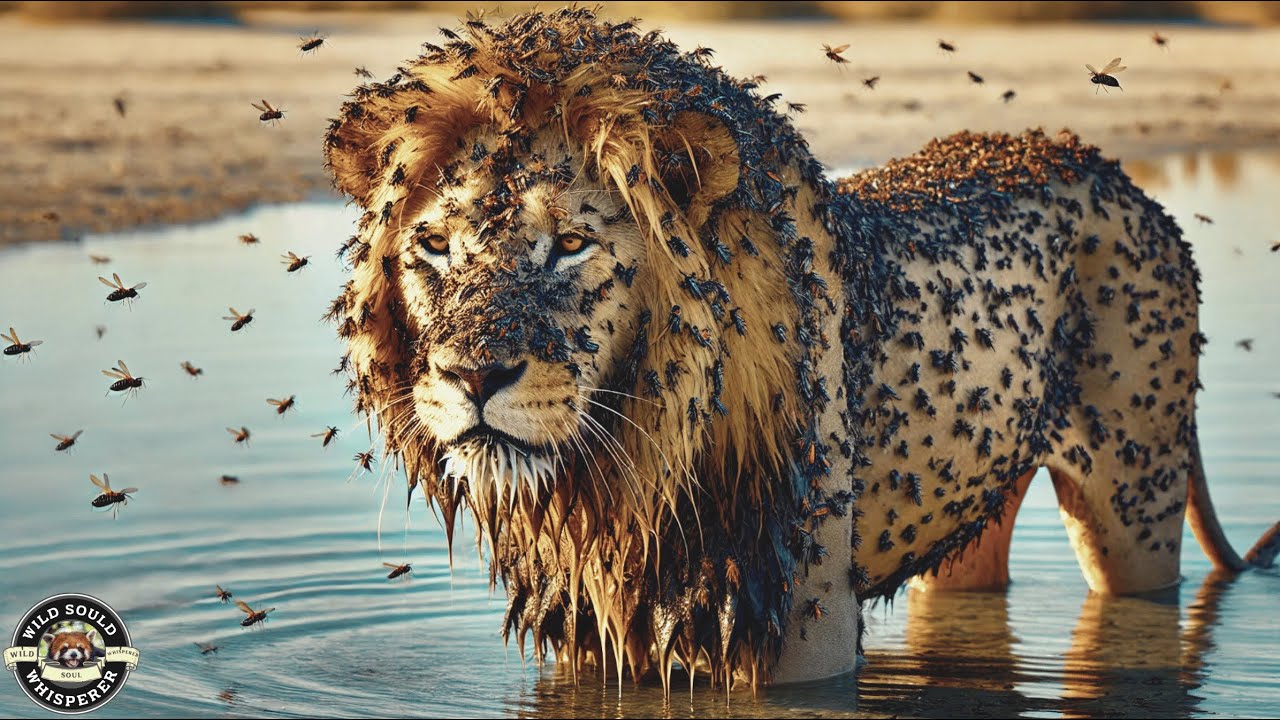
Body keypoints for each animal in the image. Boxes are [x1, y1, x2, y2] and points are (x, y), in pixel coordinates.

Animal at [321, 8, 1277, 689]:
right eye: (434, 246)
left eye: (571, 244)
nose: (473, 376)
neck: (631, 463)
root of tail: (1119, 177)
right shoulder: (598, 629)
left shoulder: (802, 629)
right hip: (968, 519)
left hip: (1133, 503)